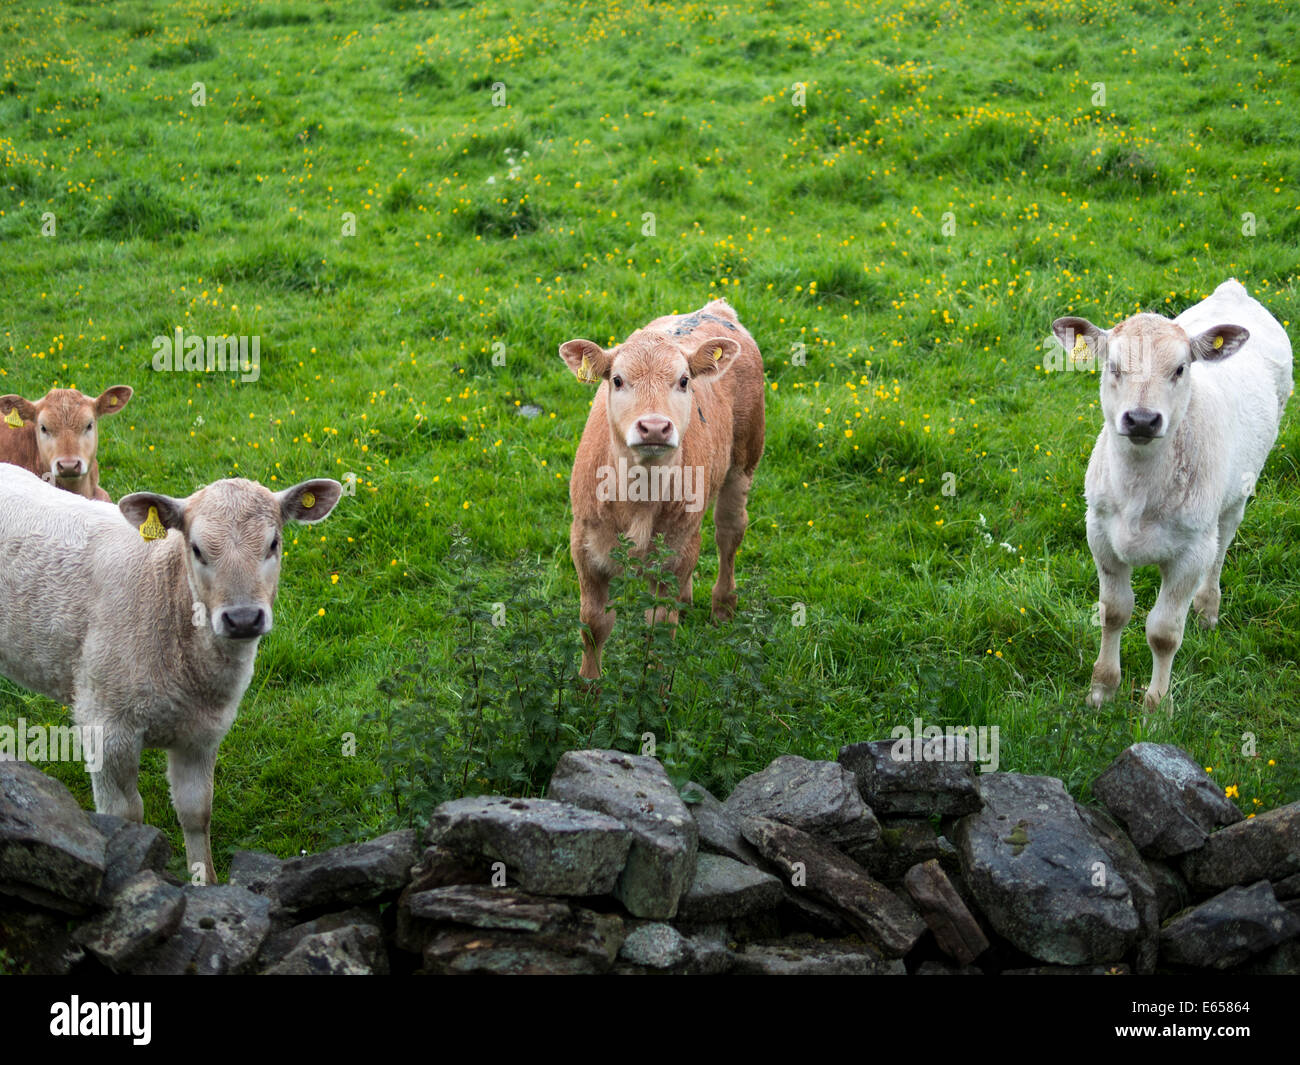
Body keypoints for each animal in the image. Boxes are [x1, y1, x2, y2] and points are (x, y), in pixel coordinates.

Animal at [0, 464, 342, 885]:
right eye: (196, 549)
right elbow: (126, 816)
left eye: (273, 543)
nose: (243, 618)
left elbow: (196, 813)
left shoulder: (202, 734)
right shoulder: (105, 724)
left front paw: (205, 884)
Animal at [560, 298, 765, 679]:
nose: (654, 426)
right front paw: (587, 687)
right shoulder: (584, 546)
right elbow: (594, 624)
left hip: (745, 456)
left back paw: (723, 606)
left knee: (729, 531)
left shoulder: (673, 556)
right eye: (617, 380)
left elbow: (658, 631)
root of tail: (715, 309)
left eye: (683, 380)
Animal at [1053, 278, 1293, 712]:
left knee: (1222, 544)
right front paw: (1102, 689)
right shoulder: (1099, 533)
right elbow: (1113, 612)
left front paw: (1156, 706)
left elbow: (1164, 632)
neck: (1139, 493)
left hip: (1236, 494)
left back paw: (1207, 607)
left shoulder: (1190, 552)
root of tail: (1233, 291)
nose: (1142, 419)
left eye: (1181, 369)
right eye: (1113, 367)